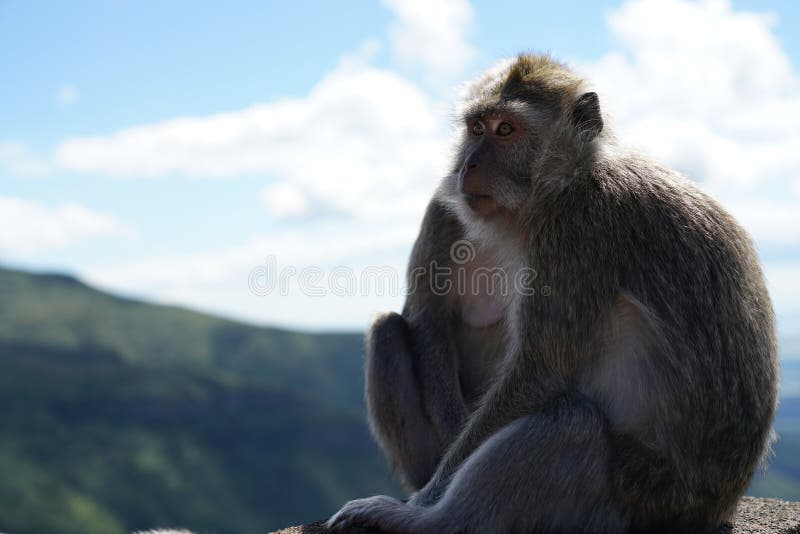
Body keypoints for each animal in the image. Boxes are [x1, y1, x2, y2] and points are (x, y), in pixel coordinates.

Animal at [327, 54, 778, 533]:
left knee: (570, 423)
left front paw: (427, 498)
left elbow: (536, 376)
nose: (467, 166)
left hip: (630, 500)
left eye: (506, 129)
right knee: (388, 331)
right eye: (477, 128)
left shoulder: (575, 235)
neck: (570, 180)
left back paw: (423, 520)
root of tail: (712, 511)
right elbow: (430, 322)